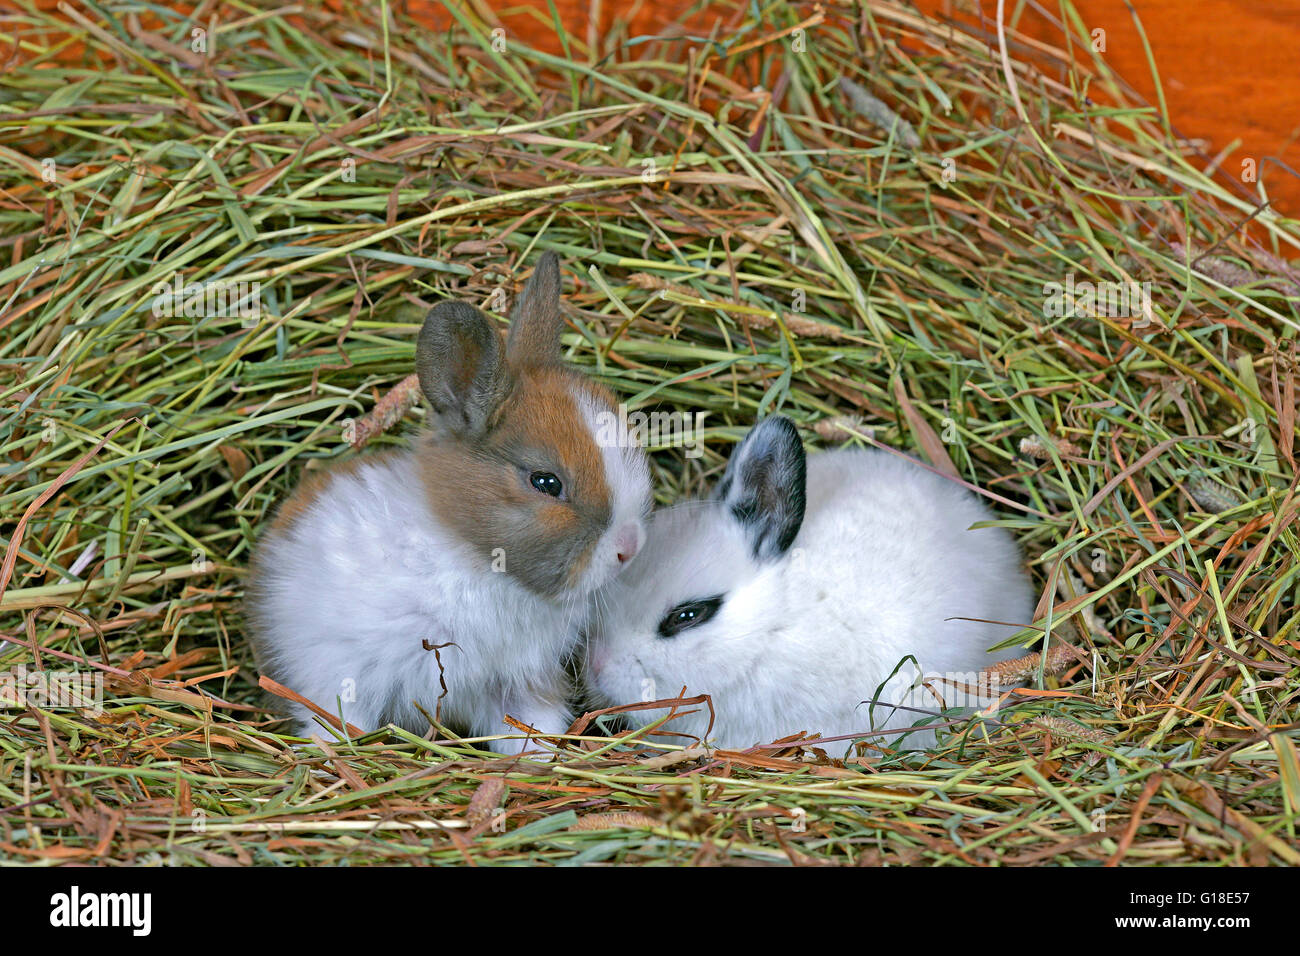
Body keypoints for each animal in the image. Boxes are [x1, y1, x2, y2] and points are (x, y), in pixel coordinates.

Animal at [246, 251, 651, 754]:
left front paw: (538, 759)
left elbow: (531, 727)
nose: (629, 547)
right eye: (545, 482)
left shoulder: (518, 684)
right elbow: (337, 716)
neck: (478, 564)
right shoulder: (336, 668)